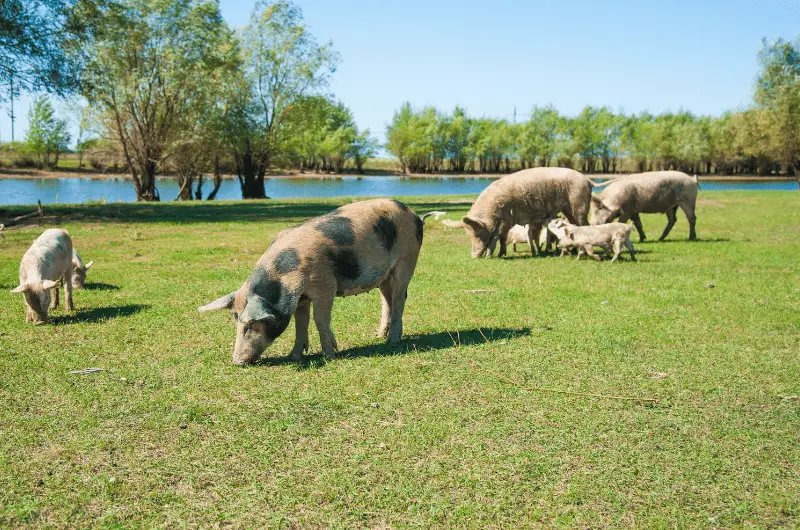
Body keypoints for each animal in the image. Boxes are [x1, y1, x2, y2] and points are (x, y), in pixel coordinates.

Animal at [198, 199, 438, 365]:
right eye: (236, 321)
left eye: (251, 324)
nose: (237, 361)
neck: (285, 277)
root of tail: (415, 215)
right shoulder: (300, 298)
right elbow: (300, 324)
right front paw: (294, 357)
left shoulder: (325, 286)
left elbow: (320, 320)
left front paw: (330, 355)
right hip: (384, 275)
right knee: (386, 300)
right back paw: (378, 336)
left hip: (407, 259)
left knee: (400, 298)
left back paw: (392, 341)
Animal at [461, 167, 594, 258]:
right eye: (469, 234)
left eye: (477, 233)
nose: (474, 256)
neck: (491, 213)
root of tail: (586, 179)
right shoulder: (507, 222)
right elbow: (503, 239)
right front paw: (501, 255)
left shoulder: (504, 220)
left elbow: (496, 237)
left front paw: (489, 256)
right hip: (569, 210)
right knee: (574, 224)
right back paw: (573, 251)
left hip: (580, 204)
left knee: (585, 225)